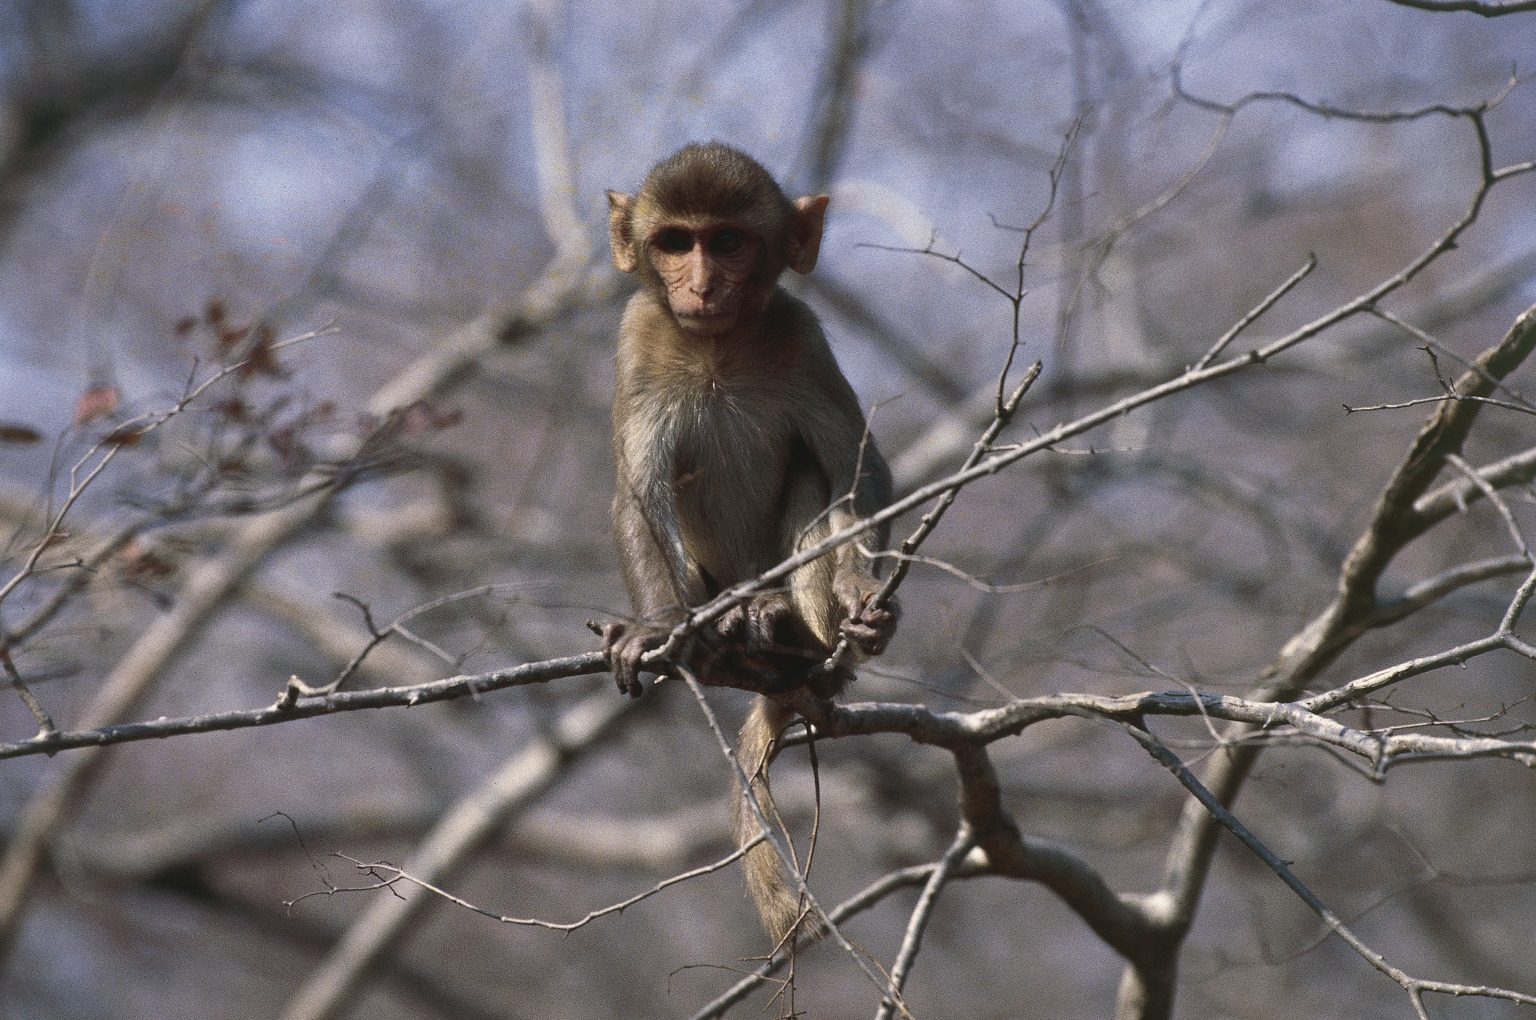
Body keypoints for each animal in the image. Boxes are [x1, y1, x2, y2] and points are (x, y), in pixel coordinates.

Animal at [601, 142, 898, 945]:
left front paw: (861, 594)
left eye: (728, 241)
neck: (718, 347)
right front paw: (656, 627)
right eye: (676, 241)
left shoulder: (803, 338)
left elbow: (859, 475)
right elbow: (637, 493)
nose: (702, 284)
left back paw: (788, 629)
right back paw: (728, 624)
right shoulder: (638, 340)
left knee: (813, 475)